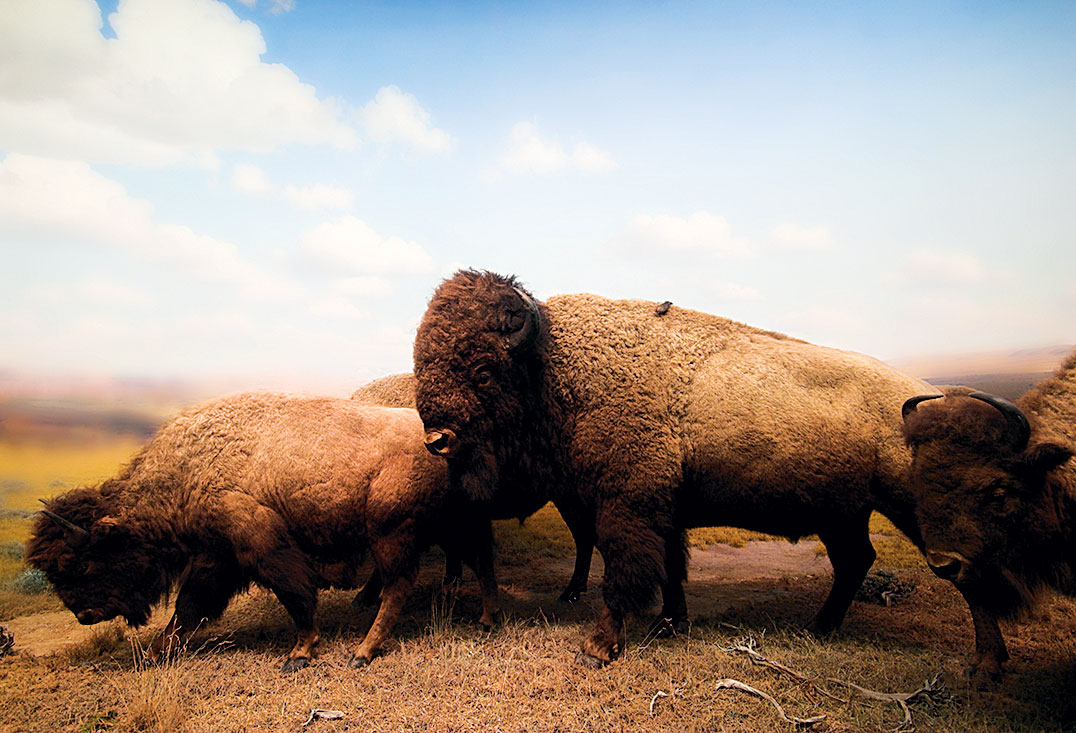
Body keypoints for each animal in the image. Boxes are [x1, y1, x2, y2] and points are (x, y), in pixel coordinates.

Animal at [28, 392, 498, 672]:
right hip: (450, 526)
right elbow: (188, 607)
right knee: (481, 563)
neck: (189, 470)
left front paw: (300, 652)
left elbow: (295, 596)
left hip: (391, 533)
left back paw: (363, 651)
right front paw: (157, 652)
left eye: (82, 564)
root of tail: (444, 441)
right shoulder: (216, 557)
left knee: (398, 587)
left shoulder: (261, 548)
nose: (83, 614)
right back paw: (487, 619)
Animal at [412, 269, 1002, 669]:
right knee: (857, 561)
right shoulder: (662, 512)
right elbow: (672, 568)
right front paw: (670, 624)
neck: (557, 367)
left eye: (483, 370)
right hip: (843, 514)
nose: (437, 439)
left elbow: (623, 574)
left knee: (959, 570)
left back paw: (986, 665)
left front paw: (598, 648)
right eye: (424, 360)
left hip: (907, 508)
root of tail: (924, 394)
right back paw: (821, 628)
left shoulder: (627, 508)